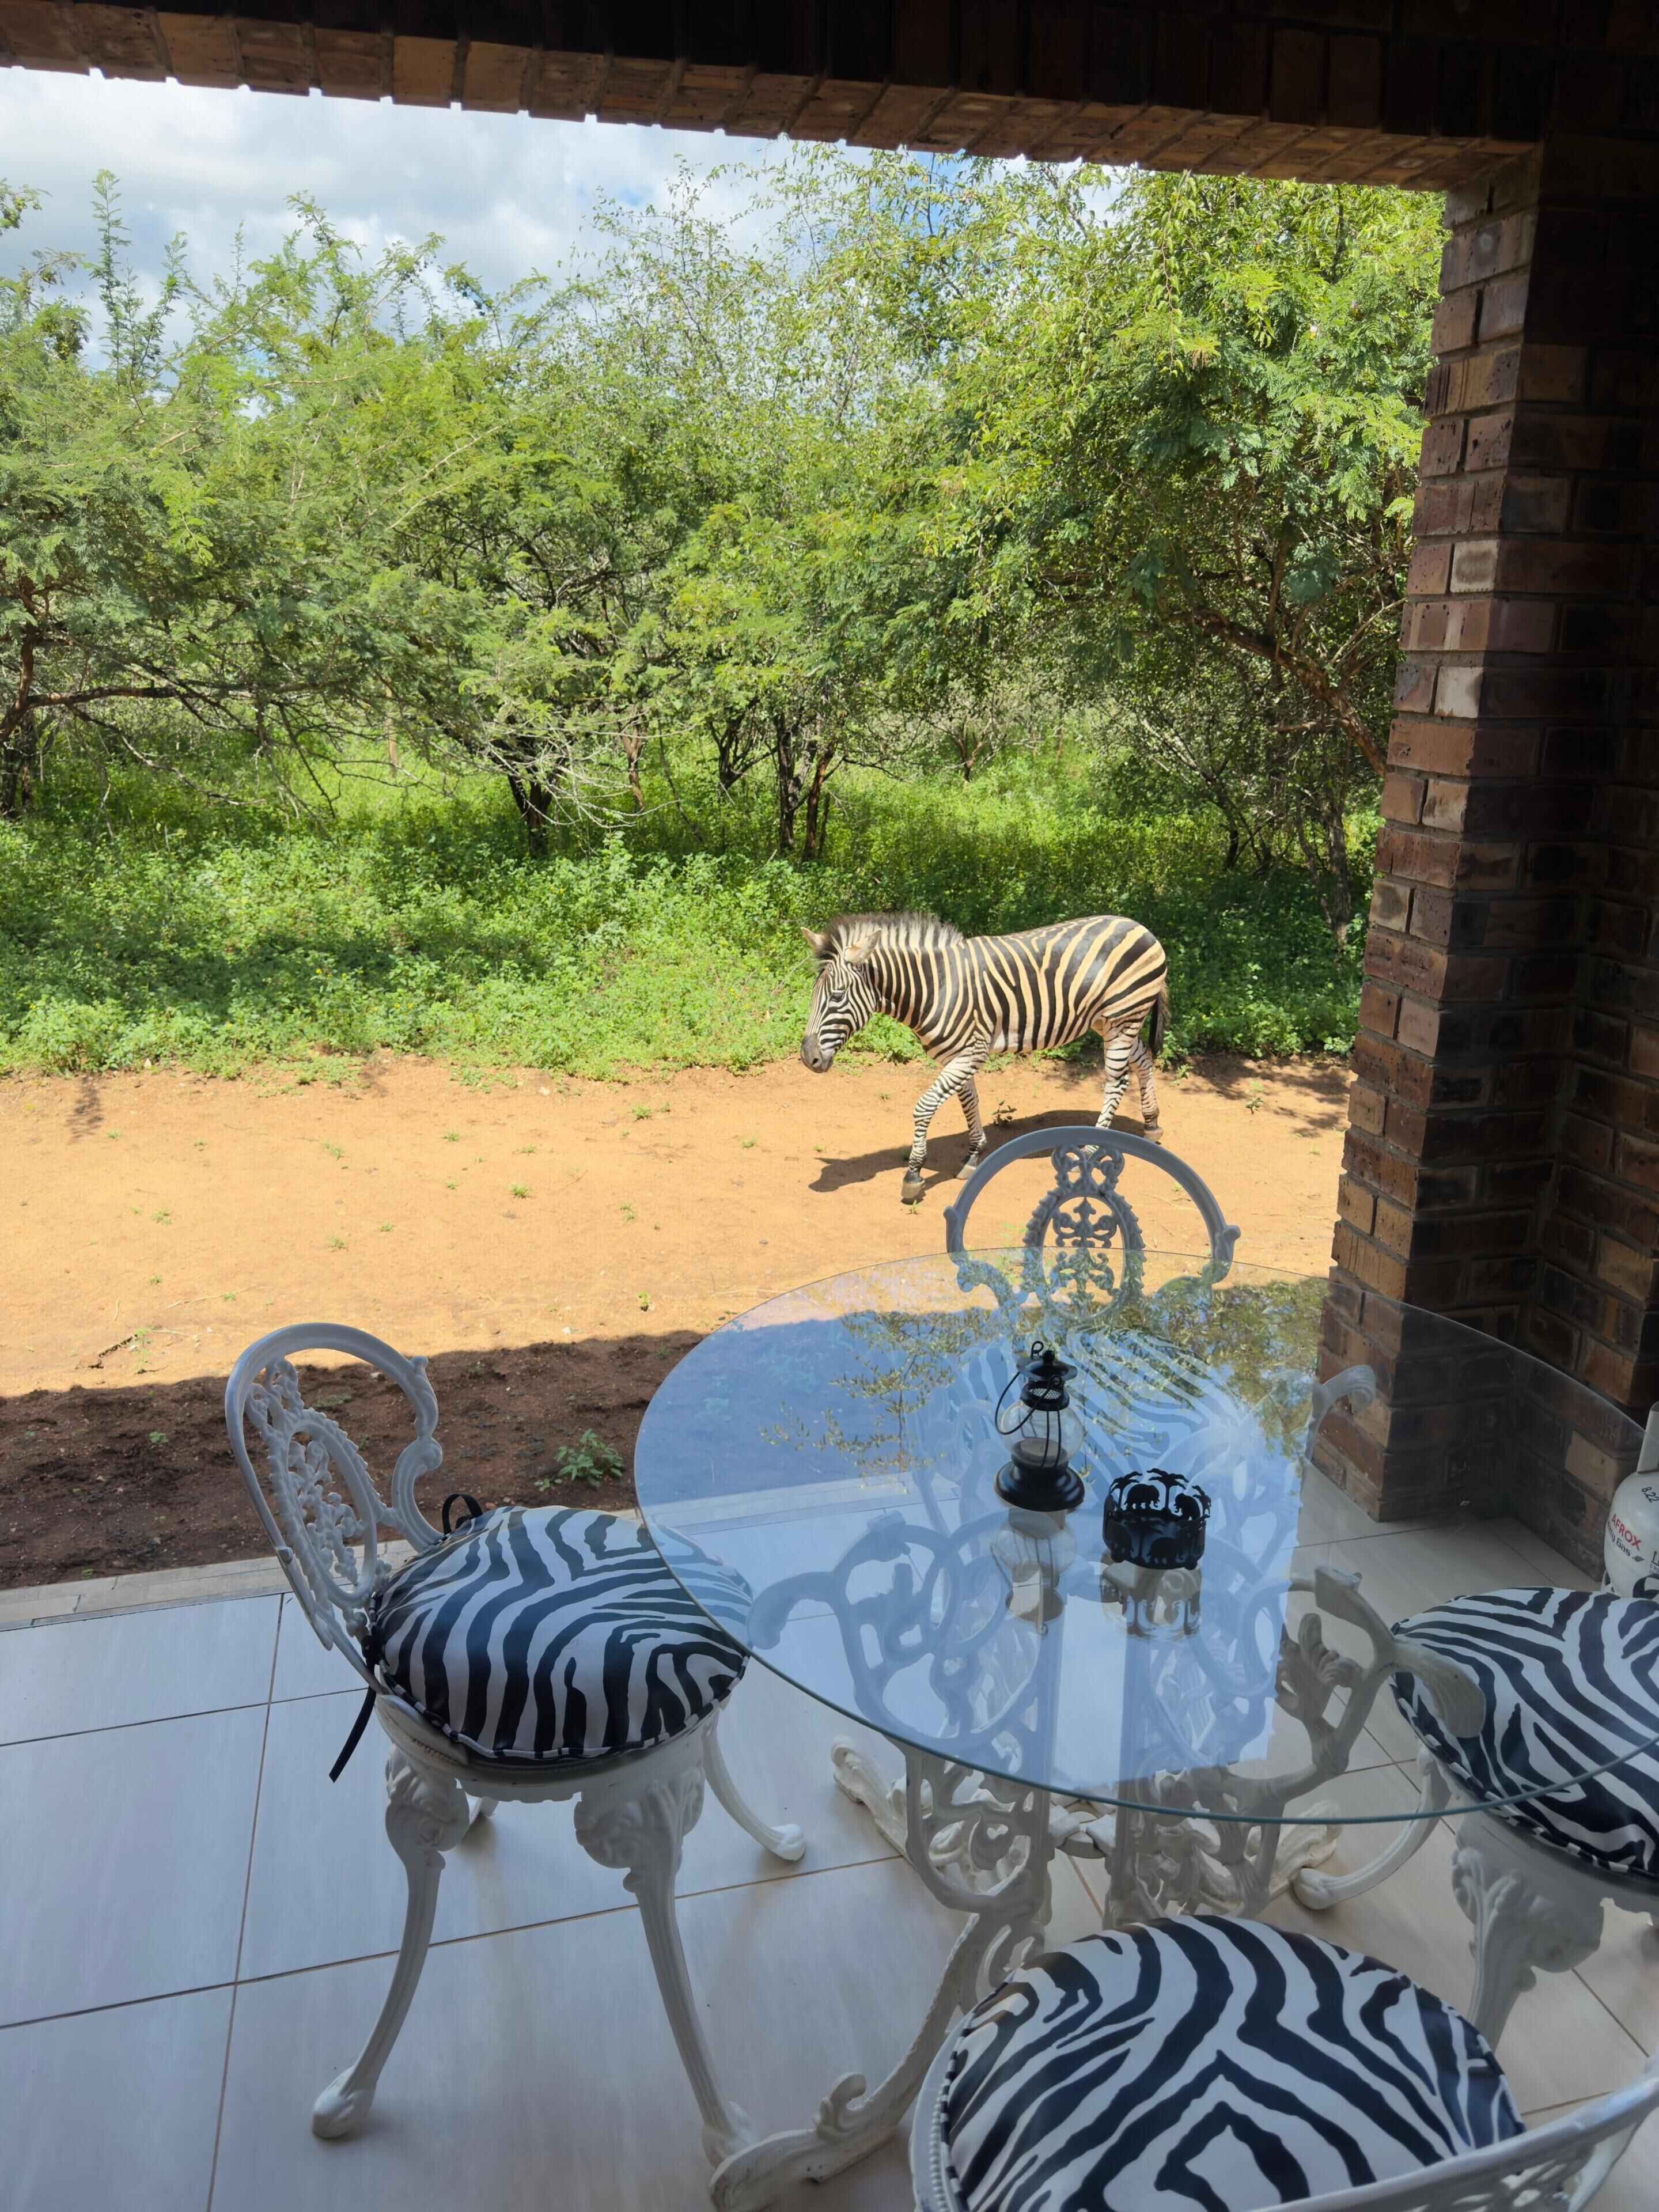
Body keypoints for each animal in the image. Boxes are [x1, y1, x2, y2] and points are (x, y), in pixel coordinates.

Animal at [800, 911, 1170, 1200]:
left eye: (836, 997)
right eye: (814, 994)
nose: (808, 1058)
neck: (936, 987)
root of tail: (1142, 928)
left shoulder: (971, 1053)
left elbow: (925, 1107)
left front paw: (914, 1175)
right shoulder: (958, 1055)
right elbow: (969, 1102)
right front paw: (974, 1156)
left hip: (1122, 1017)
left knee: (1117, 1082)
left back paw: (1093, 1148)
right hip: (1113, 1022)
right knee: (1142, 1059)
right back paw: (1151, 1123)